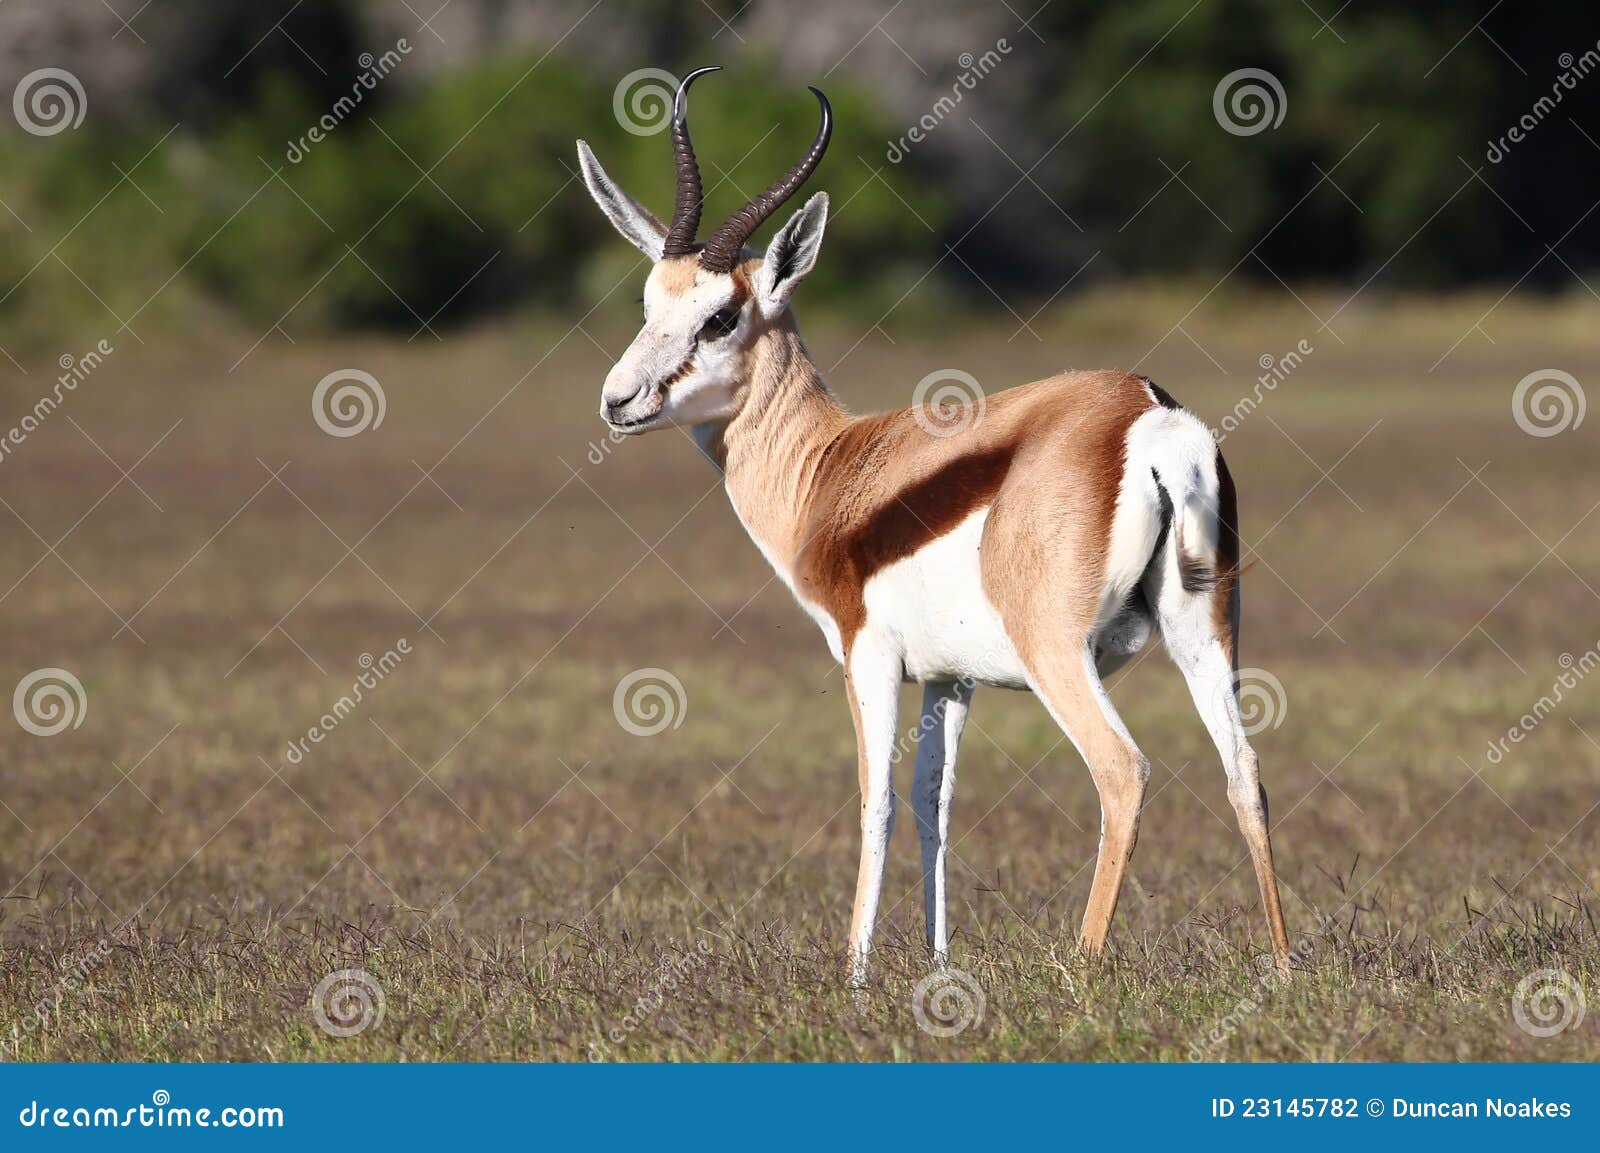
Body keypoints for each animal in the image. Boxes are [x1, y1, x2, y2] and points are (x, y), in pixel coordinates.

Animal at [576, 68, 1291, 984]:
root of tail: (1149, 414)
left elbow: (876, 801)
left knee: (1122, 769)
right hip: (1203, 628)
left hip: (1058, 652)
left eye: (720, 318)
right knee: (1245, 770)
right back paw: (1283, 966)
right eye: (647, 302)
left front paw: (854, 975)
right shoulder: (950, 678)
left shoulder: (867, 655)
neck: (831, 466)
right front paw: (936, 963)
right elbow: (933, 802)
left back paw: (1083, 965)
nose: (619, 399)